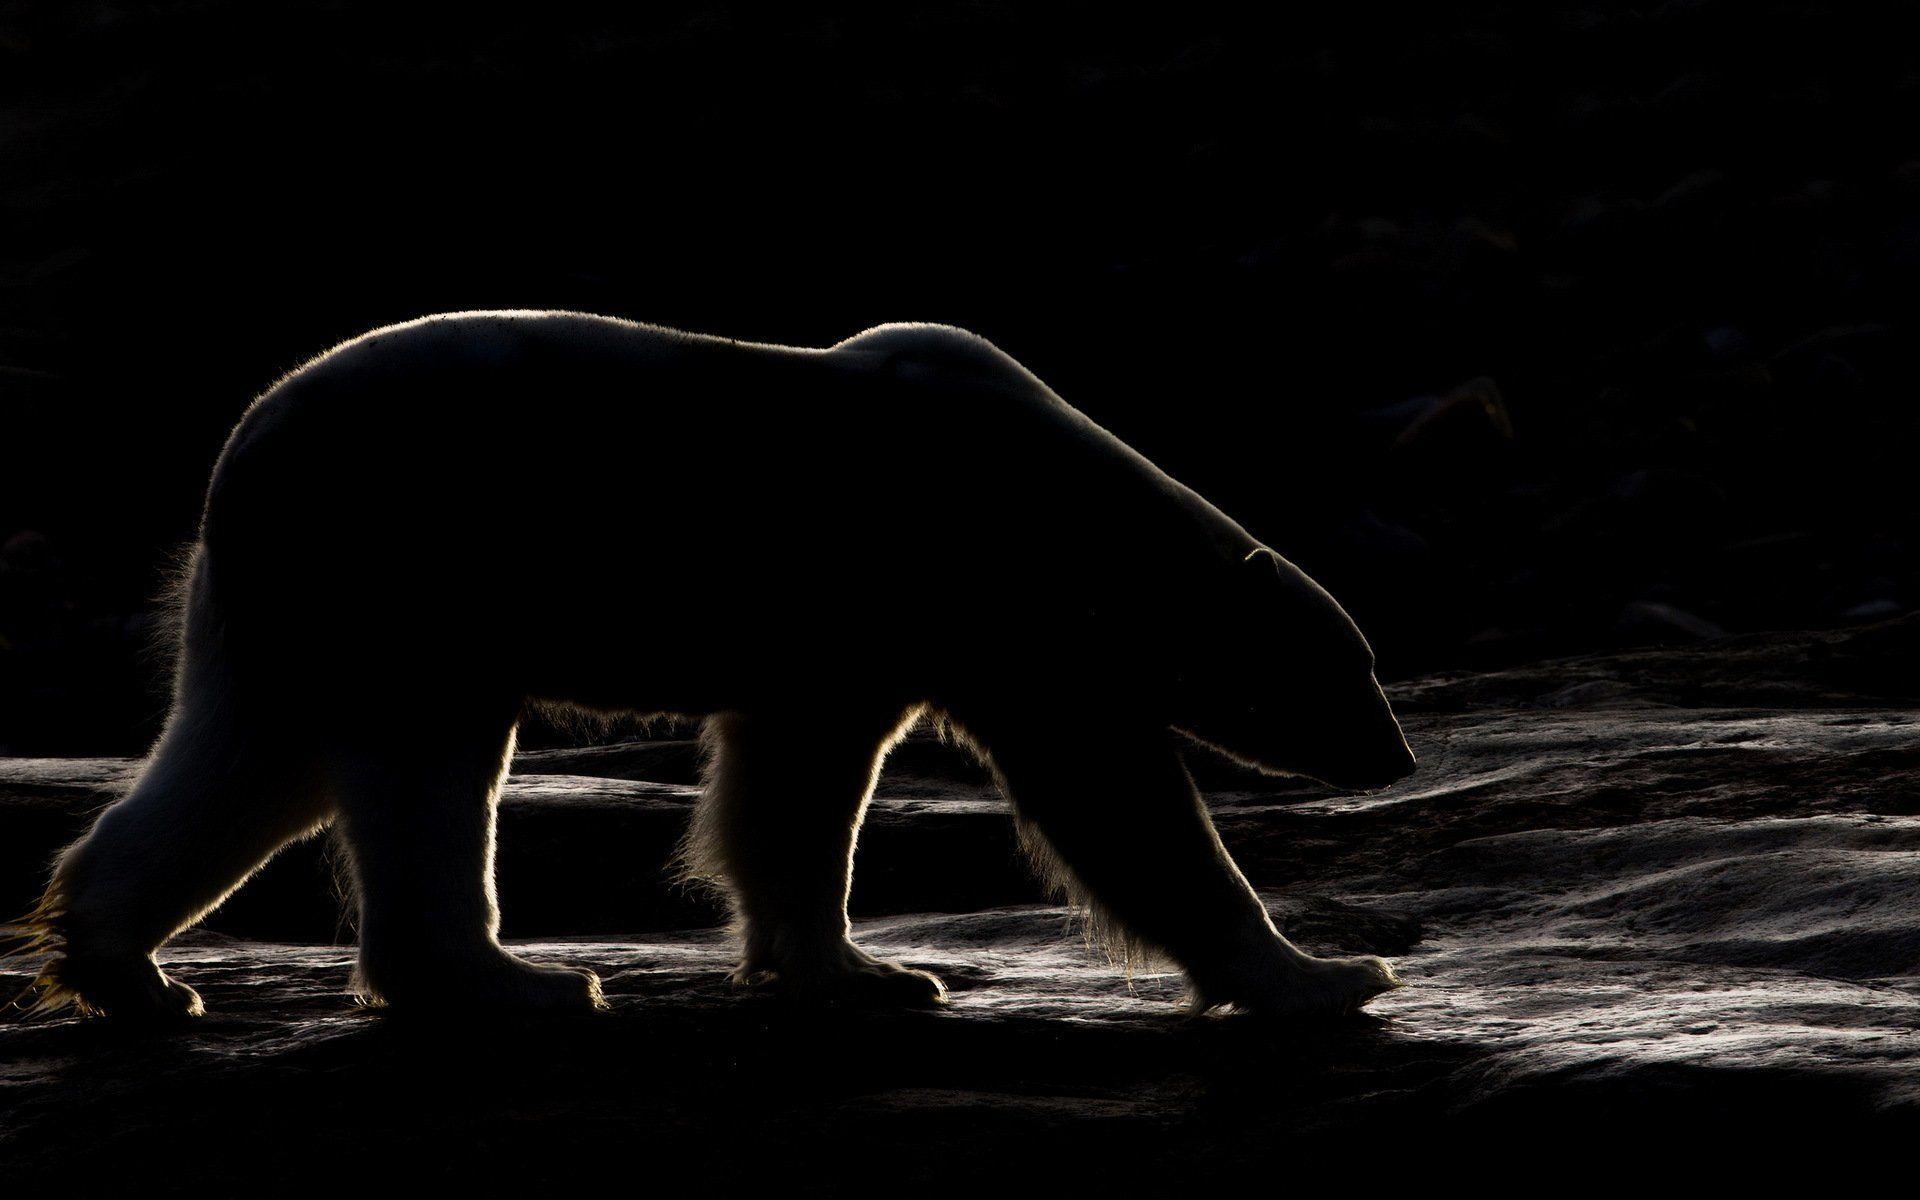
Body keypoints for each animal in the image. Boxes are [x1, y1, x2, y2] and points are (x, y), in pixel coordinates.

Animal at [4, 311, 1416, 1022]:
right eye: (1353, 669)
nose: (1396, 754)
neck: (1072, 500)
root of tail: (243, 450)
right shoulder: (979, 592)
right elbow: (1113, 796)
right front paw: (1325, 975)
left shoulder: (852, 639)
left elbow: (791, 787)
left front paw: (860, 968)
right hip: (414, 561)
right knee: (420, 770)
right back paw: (515, 982)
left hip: (288, 603)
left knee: (246, 761)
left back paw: (125, 966)